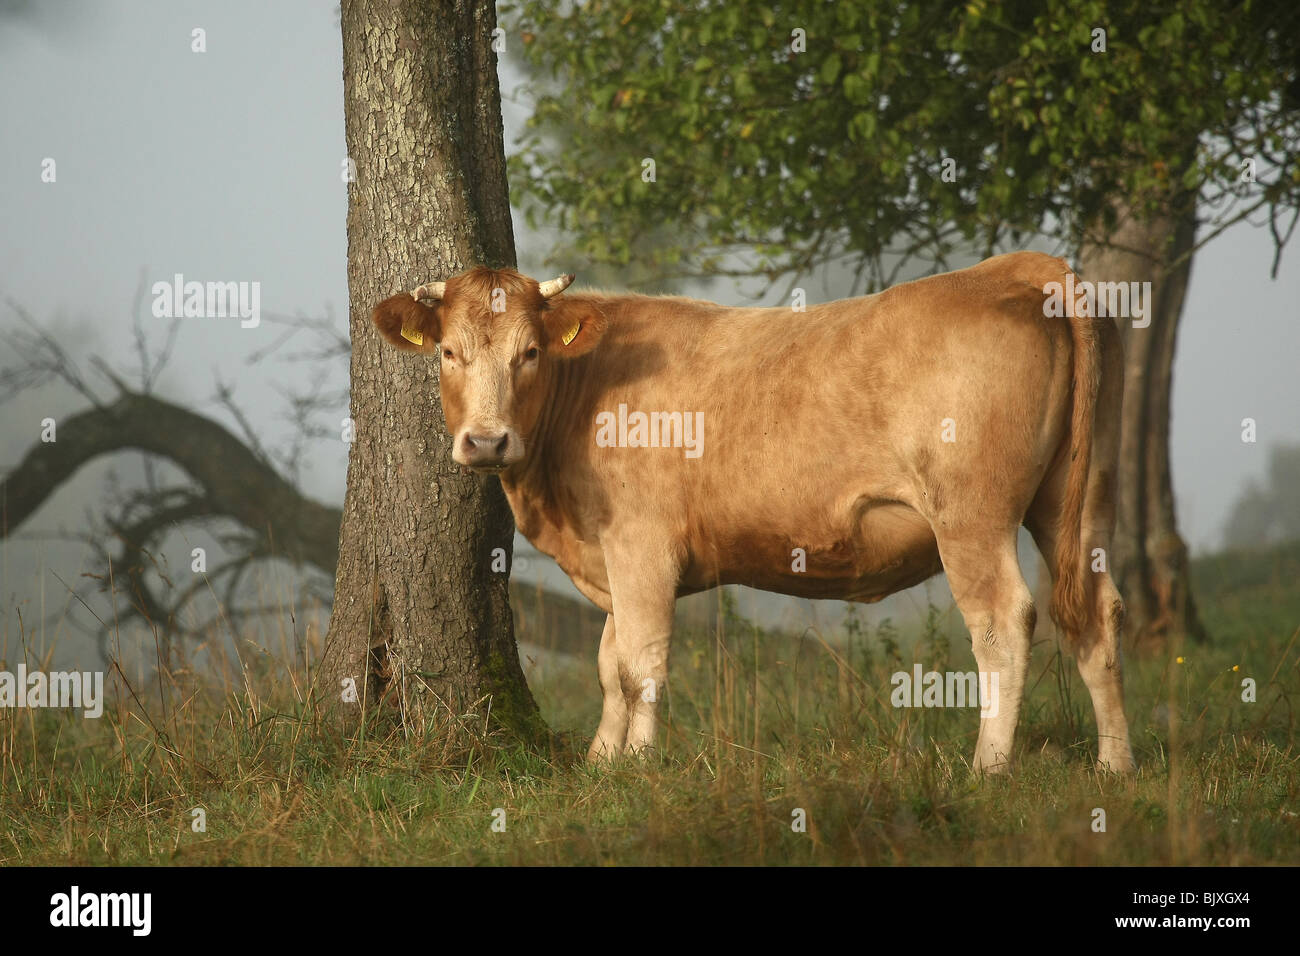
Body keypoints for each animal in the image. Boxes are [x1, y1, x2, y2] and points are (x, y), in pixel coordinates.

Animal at [369, 252, 1135, 774]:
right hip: (1079, 500)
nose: (487, 441)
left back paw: (988, 768)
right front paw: (601, 762)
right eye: (448, 351)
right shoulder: (611, 557)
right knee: (1098, 612)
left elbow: (640, 662)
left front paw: (637, 767)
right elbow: (609, 662)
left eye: (529, 352)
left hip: (971, 515)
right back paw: (1114, 766)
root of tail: (1021, 267)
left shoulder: (642, 545)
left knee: (1003, 623)